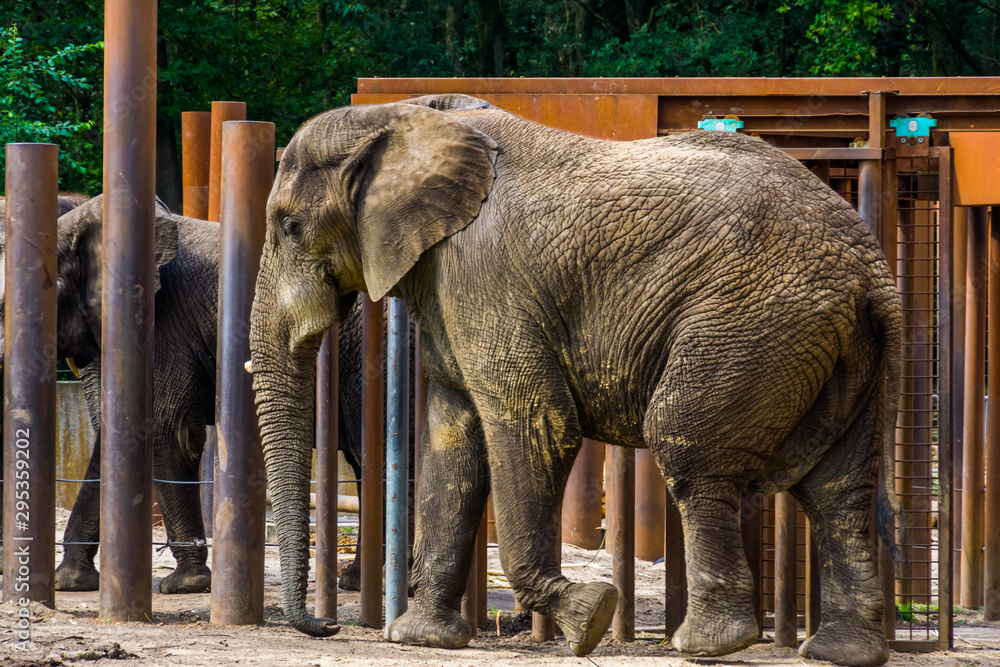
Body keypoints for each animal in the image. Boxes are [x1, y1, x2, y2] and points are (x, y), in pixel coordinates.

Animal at [0, 195, 412, 594]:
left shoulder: (163, 323)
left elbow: (167, 433)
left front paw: (184, 585)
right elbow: (117, 434)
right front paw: (70, 581)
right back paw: (357, 582)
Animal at [248, 94, 902, 667]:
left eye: (290, 227)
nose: (327, 626)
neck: (396, 117)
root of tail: (871, 272)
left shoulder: (485, 275)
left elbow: (535, 421)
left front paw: (588, 618)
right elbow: (451, 439)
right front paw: (422, 638)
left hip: (748, 325)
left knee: (691, 453)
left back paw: (709, 644)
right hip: (836, 347)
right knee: (839, 487)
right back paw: (840, 653)